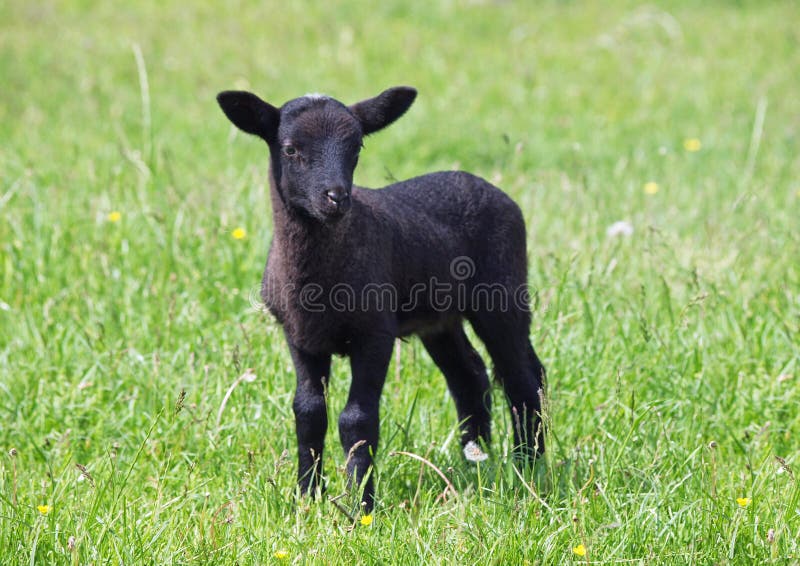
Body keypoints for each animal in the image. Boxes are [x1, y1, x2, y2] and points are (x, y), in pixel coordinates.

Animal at [216, 86, 546, 511]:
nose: (336, 198)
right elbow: (308, 412)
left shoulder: (375, 333)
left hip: (502, 294)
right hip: (439, 317)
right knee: (469, 375)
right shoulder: (299, 335)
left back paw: (528, 466)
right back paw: (476, 460)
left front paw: (361, 506)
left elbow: (357, 419)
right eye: (290, 149)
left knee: (523, 378)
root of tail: (490, 187)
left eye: (356, 146)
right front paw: (307, 497)